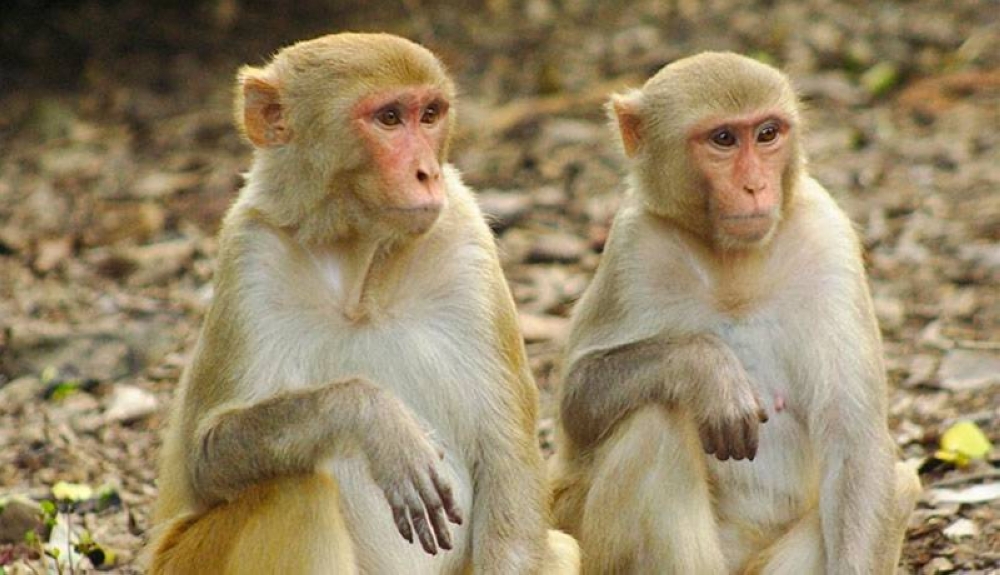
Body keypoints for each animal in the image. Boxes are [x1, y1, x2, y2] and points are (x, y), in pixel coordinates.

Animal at [146, 33, 579, 575]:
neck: (359, 269)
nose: (427, 173)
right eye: (389, 118)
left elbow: (507, 458)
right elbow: (205, 456)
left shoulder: (465, 236)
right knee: (297, 493)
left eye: (429, 114)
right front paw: (371, 416)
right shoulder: (248, 254)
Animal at [548, 51, 921, 574]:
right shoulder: (632, 247)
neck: (734, 265)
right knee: (654, 423)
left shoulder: (826, 237)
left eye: (767, 134)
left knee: (901, 483)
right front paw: (708, 370)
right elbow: (577, 400)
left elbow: (855, 444)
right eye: (723, 139)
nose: (755, 186)